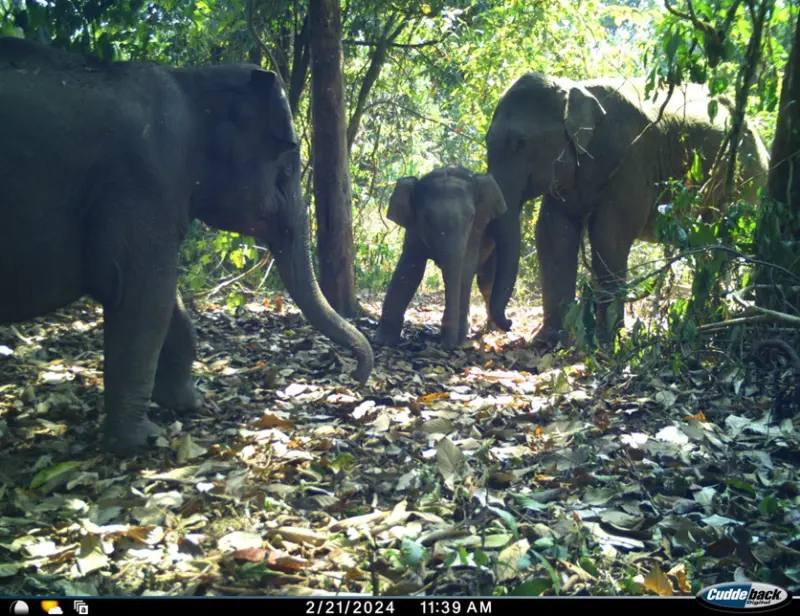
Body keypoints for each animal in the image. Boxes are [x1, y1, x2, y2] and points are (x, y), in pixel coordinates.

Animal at [0, 37, 373, 456]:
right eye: (287, 168)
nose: (356, 379)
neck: (191, 83)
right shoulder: (143, 183)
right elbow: (143, 296)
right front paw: (138, 440)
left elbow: (166, 302)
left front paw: (188, 404)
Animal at [374, 166, 507, 349]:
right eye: (427, 218)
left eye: (471, 217)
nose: (449, 346)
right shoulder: (413, 229)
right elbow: (409, 270)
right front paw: (383, 341)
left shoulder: (476, 230)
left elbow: (466, 268)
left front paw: (458, 338)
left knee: (486, 282)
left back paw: (493, 328)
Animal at [482, 72, 770, 346]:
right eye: (486, 141)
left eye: (520, 142)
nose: (508, 323)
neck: (576, 87)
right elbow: (554, 234)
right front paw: (547, 340)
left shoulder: (631, 160)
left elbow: (610, 236)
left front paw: (605, 339)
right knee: (708, 247)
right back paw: (705, 319)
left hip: (747, 176)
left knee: (720, 242)